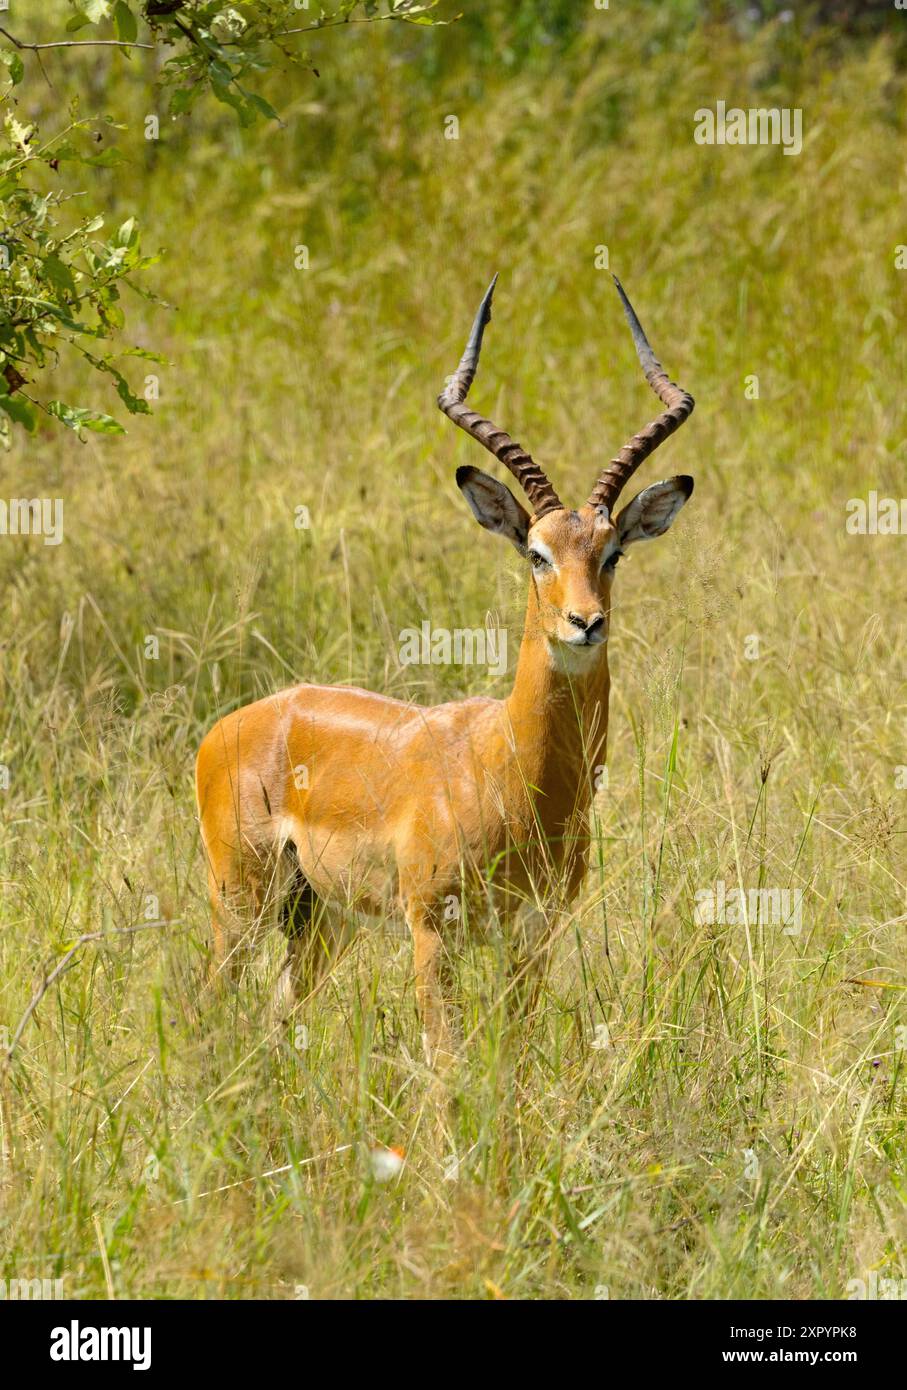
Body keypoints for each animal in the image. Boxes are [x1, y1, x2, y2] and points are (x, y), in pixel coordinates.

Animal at [195, 274, 694, 1067]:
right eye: (535, 552)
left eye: (613, 552)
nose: (585, 622)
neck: (509, 769)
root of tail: (232, 726)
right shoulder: (432, 932)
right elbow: (444, 1065)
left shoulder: (532, 936)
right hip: (240, 898)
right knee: (209, 1006)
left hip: (321, 918)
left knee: (276, 1017)